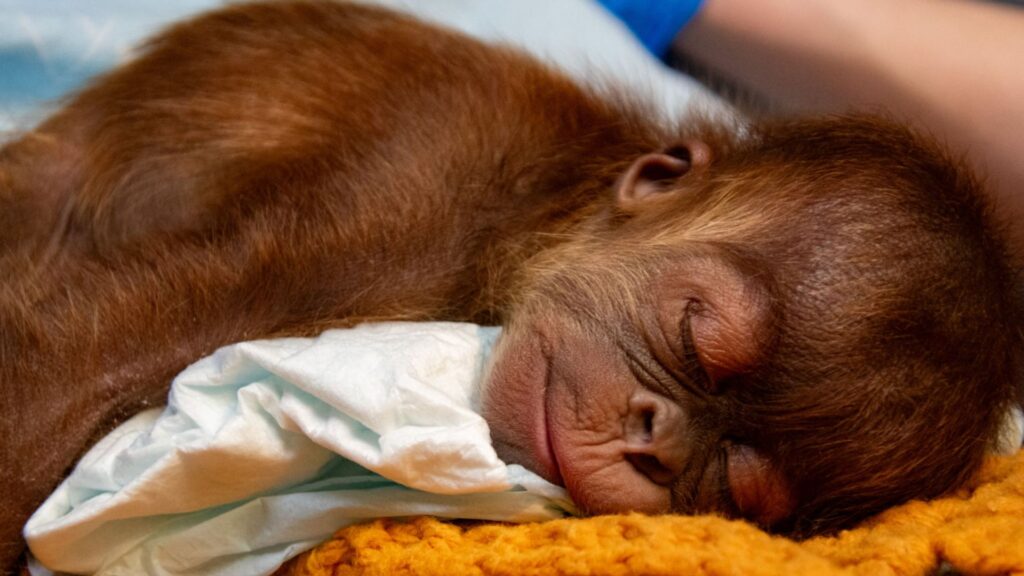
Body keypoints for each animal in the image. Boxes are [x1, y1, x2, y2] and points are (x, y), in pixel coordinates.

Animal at [0, 1, 1019, 571]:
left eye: (738, 486)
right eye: (694, 334)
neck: (534, 202)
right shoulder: (408, 195)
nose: (655, 439)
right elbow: (129, 342)